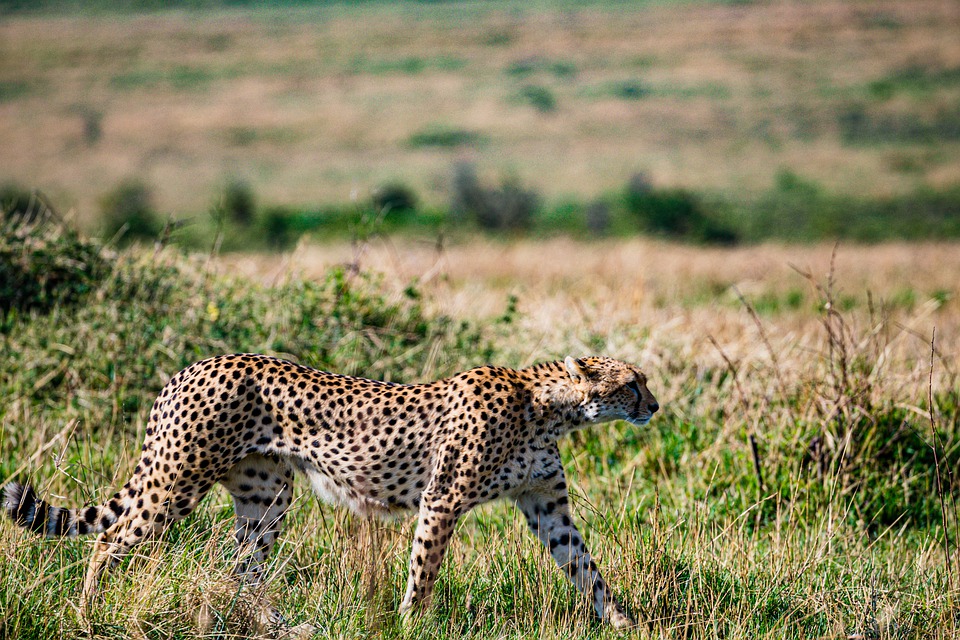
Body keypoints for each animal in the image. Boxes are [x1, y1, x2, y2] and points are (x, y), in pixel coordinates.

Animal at [3, 353, 658, 633]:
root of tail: (192, 366)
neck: (549, 408)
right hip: (175, 483)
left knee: (242, 568)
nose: (654, 405)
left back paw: (274, 625)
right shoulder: (442, 500)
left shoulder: (547, 506)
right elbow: (423, 571)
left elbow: (587, 569)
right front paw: (409, 624)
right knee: (109, 539)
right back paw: (87, 613)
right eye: (632, 383)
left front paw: (626, 622)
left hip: (266, 496)